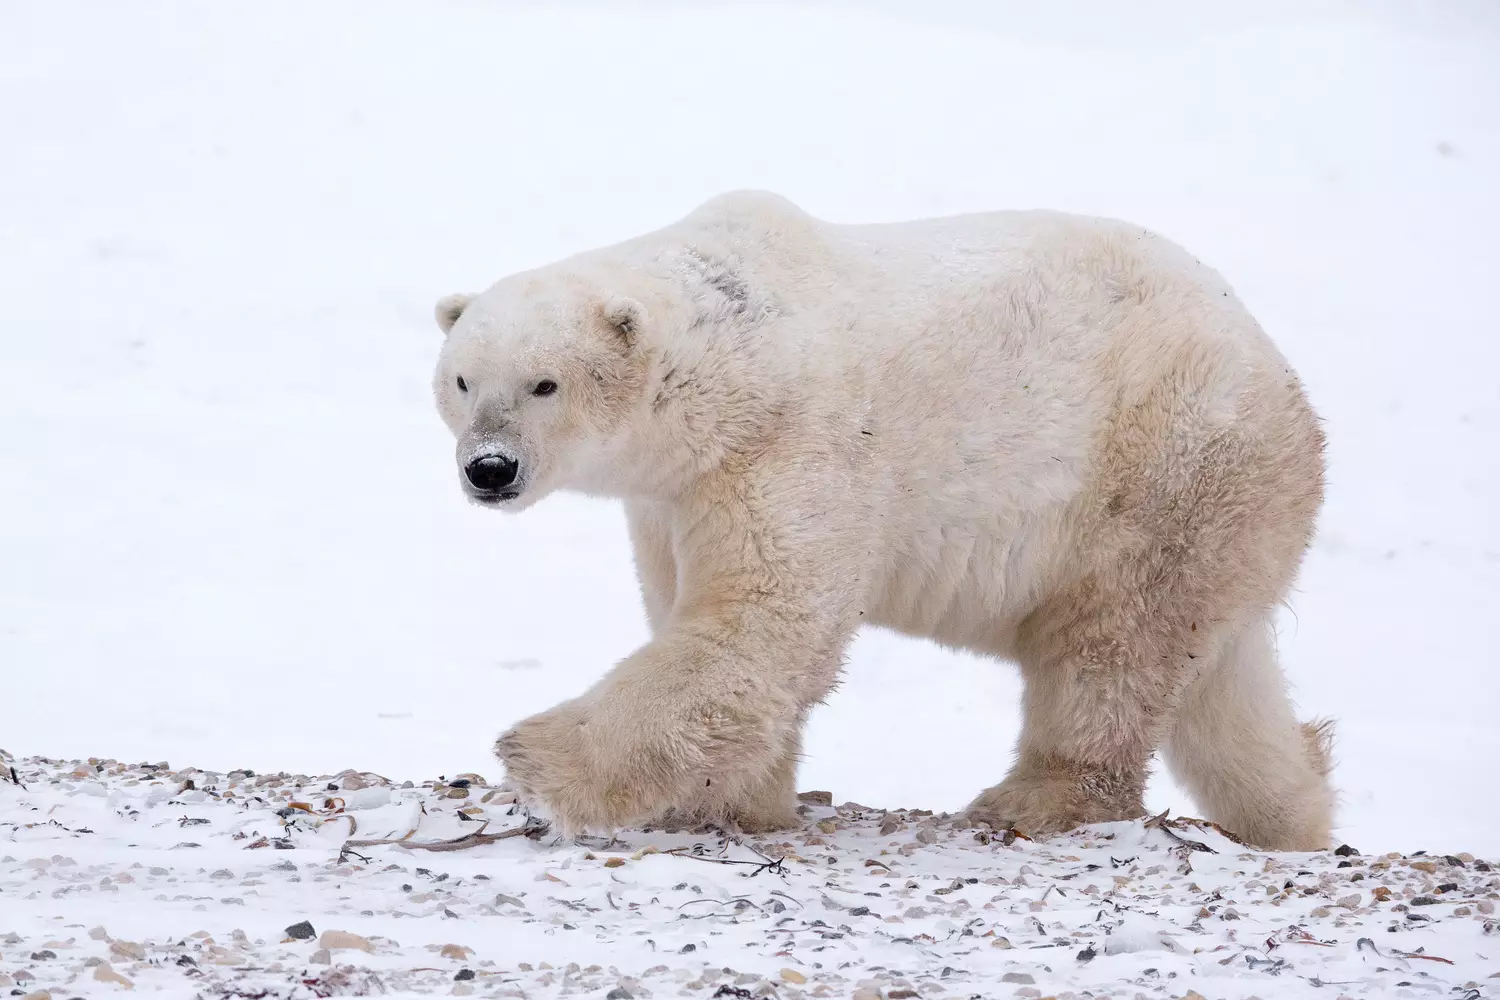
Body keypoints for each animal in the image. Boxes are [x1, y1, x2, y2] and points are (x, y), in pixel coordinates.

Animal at [429, 191, 1332, 851]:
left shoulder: (792, 445)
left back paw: (1031, 800)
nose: (490, 469)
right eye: (464, 380)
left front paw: (538, 760)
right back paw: (1297, 813)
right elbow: (686, 606)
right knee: (1220, 682)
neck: (729, 363)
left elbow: (763, 625)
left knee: (1109, 651)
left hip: (1158, 469)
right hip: (1221, 515)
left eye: (545, 384)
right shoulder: (671, 494)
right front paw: (735, 799)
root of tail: (1284, 381)